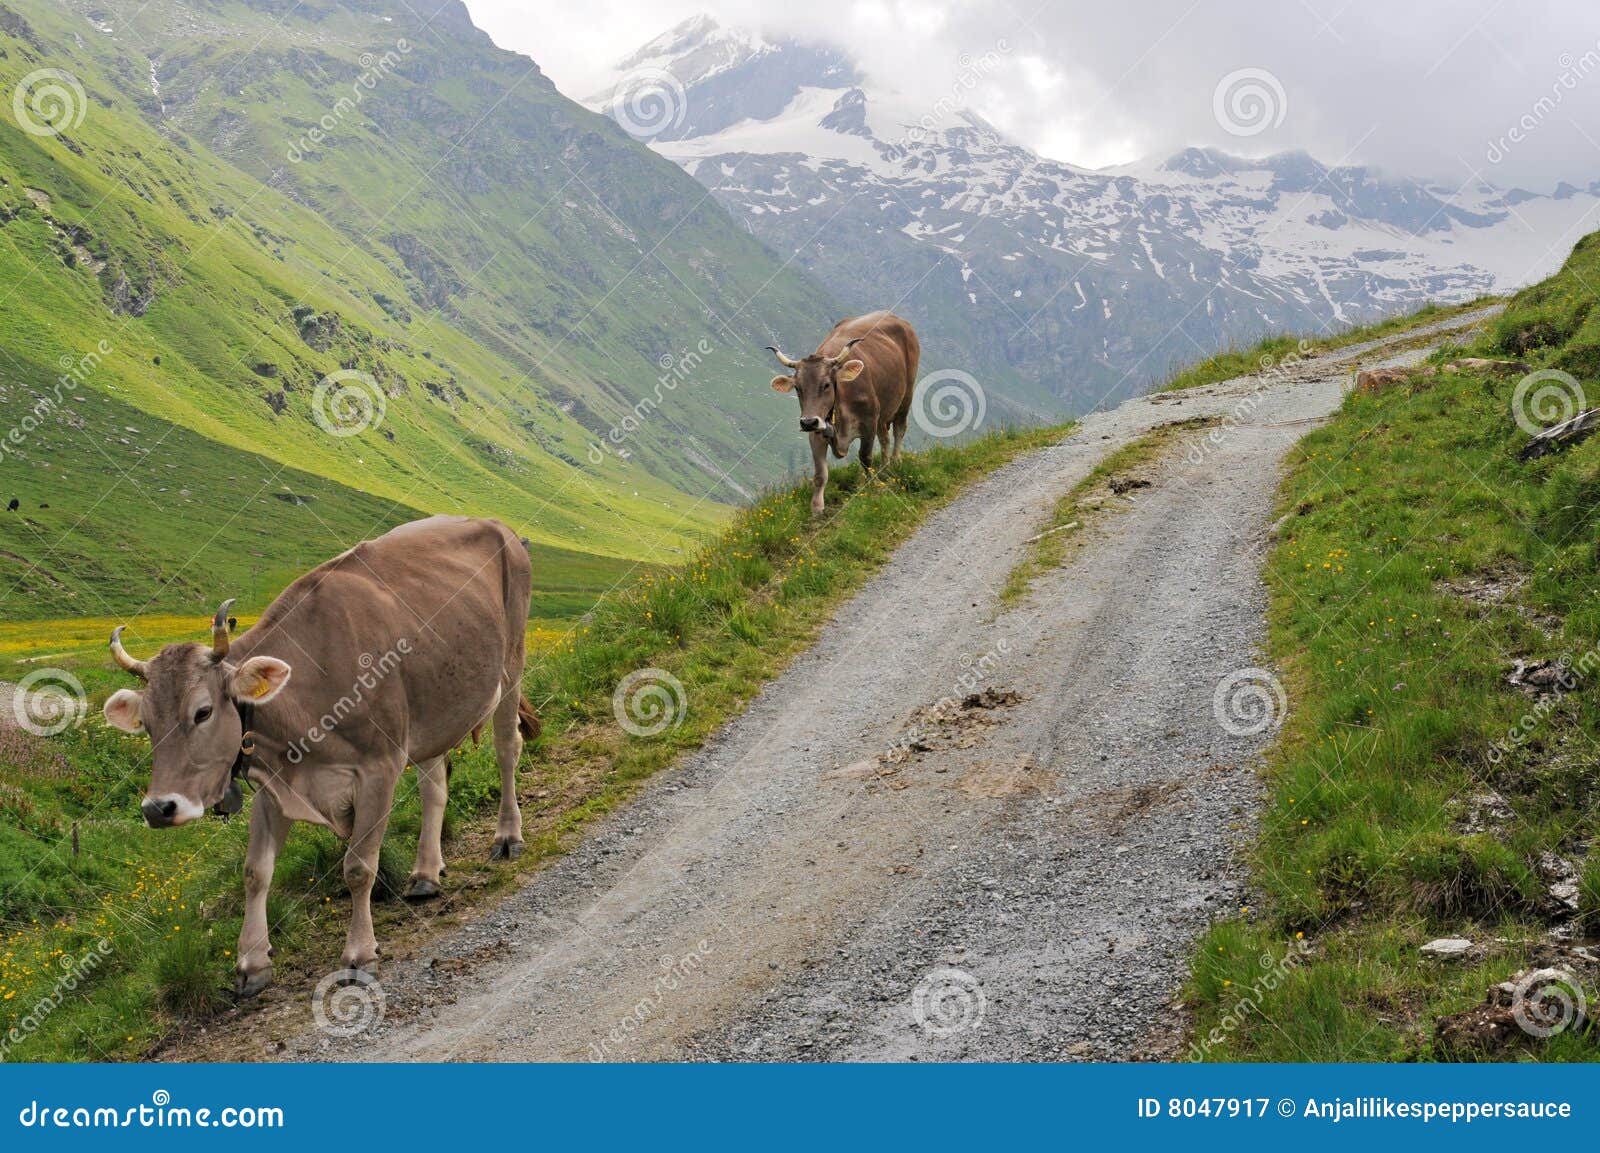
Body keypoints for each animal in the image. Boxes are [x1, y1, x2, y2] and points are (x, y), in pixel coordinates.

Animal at [102, 516, 540, 995]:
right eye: (147, 723)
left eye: (202, 711)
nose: (158, 808)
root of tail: (495, 524)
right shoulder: (273, 784)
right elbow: (255, 871)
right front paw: (252, 961)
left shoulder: (379, 768)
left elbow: (359, 867)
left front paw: (359, 952)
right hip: (433, 709)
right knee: (434, 785)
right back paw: (425, 873)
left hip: (511, 663)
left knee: (506, 750)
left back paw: (507, 836)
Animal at [766, 311, 920, 514]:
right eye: (798, 388)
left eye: (826, 385)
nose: (807, 422)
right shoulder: (817, 429)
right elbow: (820, 474)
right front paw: (817, 509)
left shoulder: (868, 423)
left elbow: (865, 458)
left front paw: (870, 487)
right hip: (882, 412)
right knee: (885, 438)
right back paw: (885, 467)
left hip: (906, 395)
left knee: (899, 429)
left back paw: (895, 462)